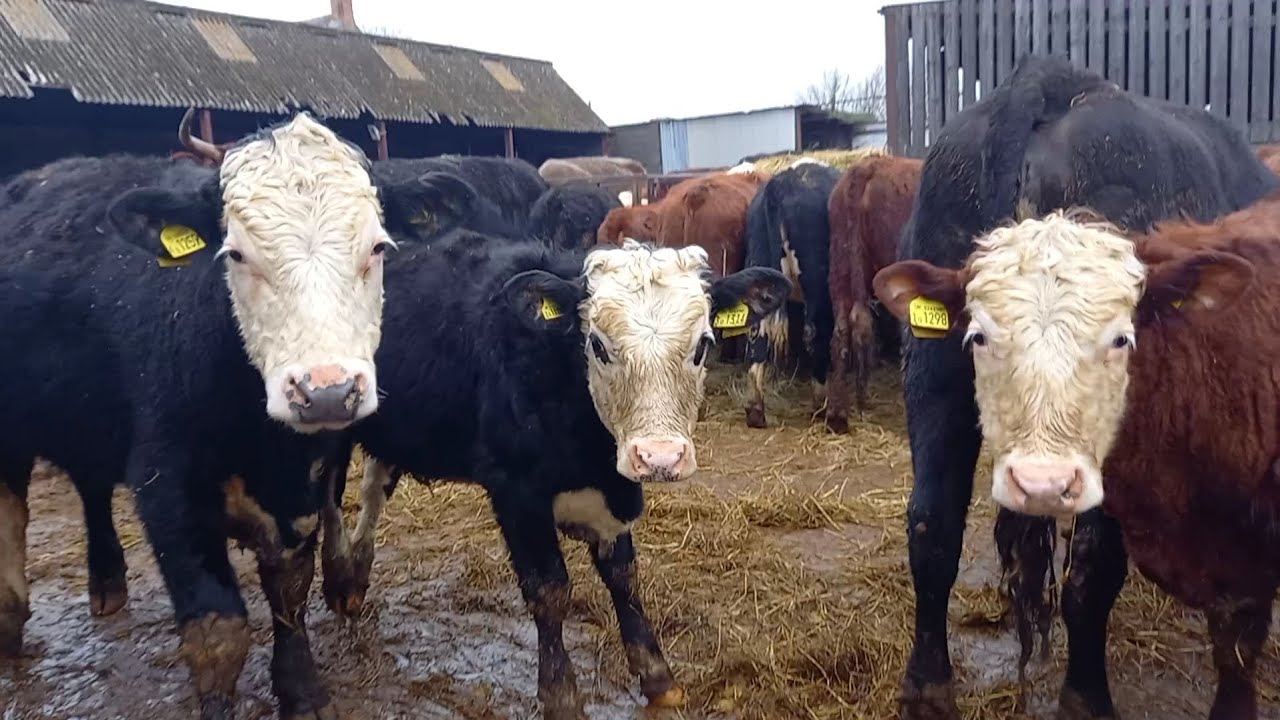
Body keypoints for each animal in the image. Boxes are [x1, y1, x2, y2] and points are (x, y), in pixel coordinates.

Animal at [0, 113, 445, 719]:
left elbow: (289, 591)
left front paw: (302, 693)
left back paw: (108, 583)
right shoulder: (168, 487)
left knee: (90, 485)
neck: (260, 440)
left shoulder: (301, 488)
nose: (327, 392)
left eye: (378, 247)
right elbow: (218, 631)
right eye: (235, 254)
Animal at [311, 234, 790, 720]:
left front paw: (658, 678)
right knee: (330, 497)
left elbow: (623, 575)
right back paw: (338, 581)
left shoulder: (614, 492)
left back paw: (356, 579)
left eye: (702, 345)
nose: (659, 456)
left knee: (374, 489)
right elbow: (550, 590)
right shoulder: (517, 492)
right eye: (598, 345)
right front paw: (561, 694)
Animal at [741, 159, 842, 428]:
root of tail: (783, 183)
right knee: (815, 334)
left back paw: (756, 410)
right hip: (817, 283)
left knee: (757, 336)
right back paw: (820, 406)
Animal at [877, 53, 1280, 720]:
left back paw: (928, 686)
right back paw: (1086, 696)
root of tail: (1042, 85)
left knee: (933, 525)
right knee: (1092, 563)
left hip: (933, 368)